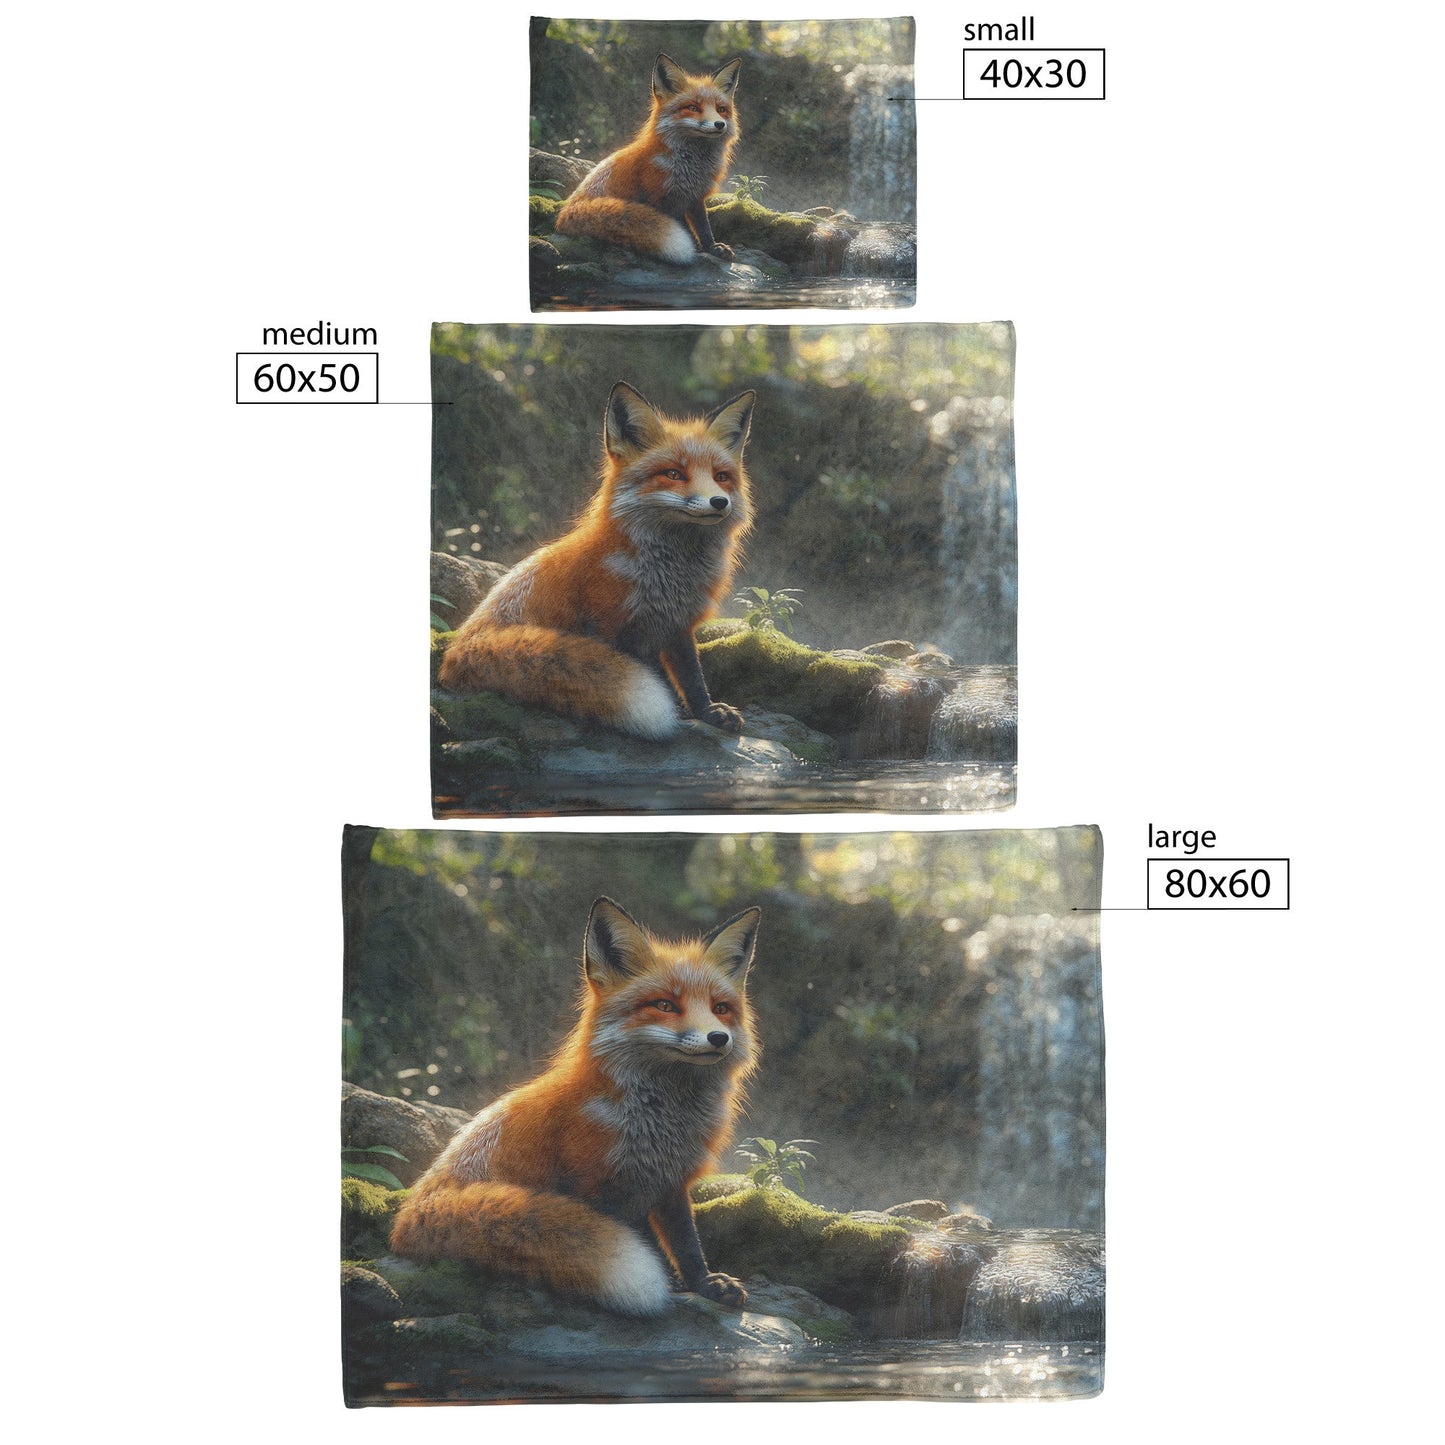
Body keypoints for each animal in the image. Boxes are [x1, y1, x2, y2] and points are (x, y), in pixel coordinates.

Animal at [390, 897, 762, 1316]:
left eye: (721, 1008)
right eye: (665, 1005)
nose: (718, 1037)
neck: (657, 1119)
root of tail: (412, 1209)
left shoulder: (669, 1181)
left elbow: (687, 1244)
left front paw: (704, 1284)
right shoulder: (594, 1186)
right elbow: (634, 1236)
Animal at [438, 381, 755, 738]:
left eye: (721, 476)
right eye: (674, 473)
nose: (719, 501)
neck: (667, 572)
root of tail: (456, 650)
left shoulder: (676, 623)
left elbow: (693, 677)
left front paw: (708, 712)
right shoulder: (611, 625)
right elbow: (651, 672)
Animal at [555, 53, 741, 266]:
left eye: (721, 109)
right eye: (693, 107)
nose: (720, 124)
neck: (689, 164)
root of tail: (564, 213)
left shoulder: (694, 196)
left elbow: (704, 228)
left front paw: (712, 247)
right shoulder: (659, 198)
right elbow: (683, 226)